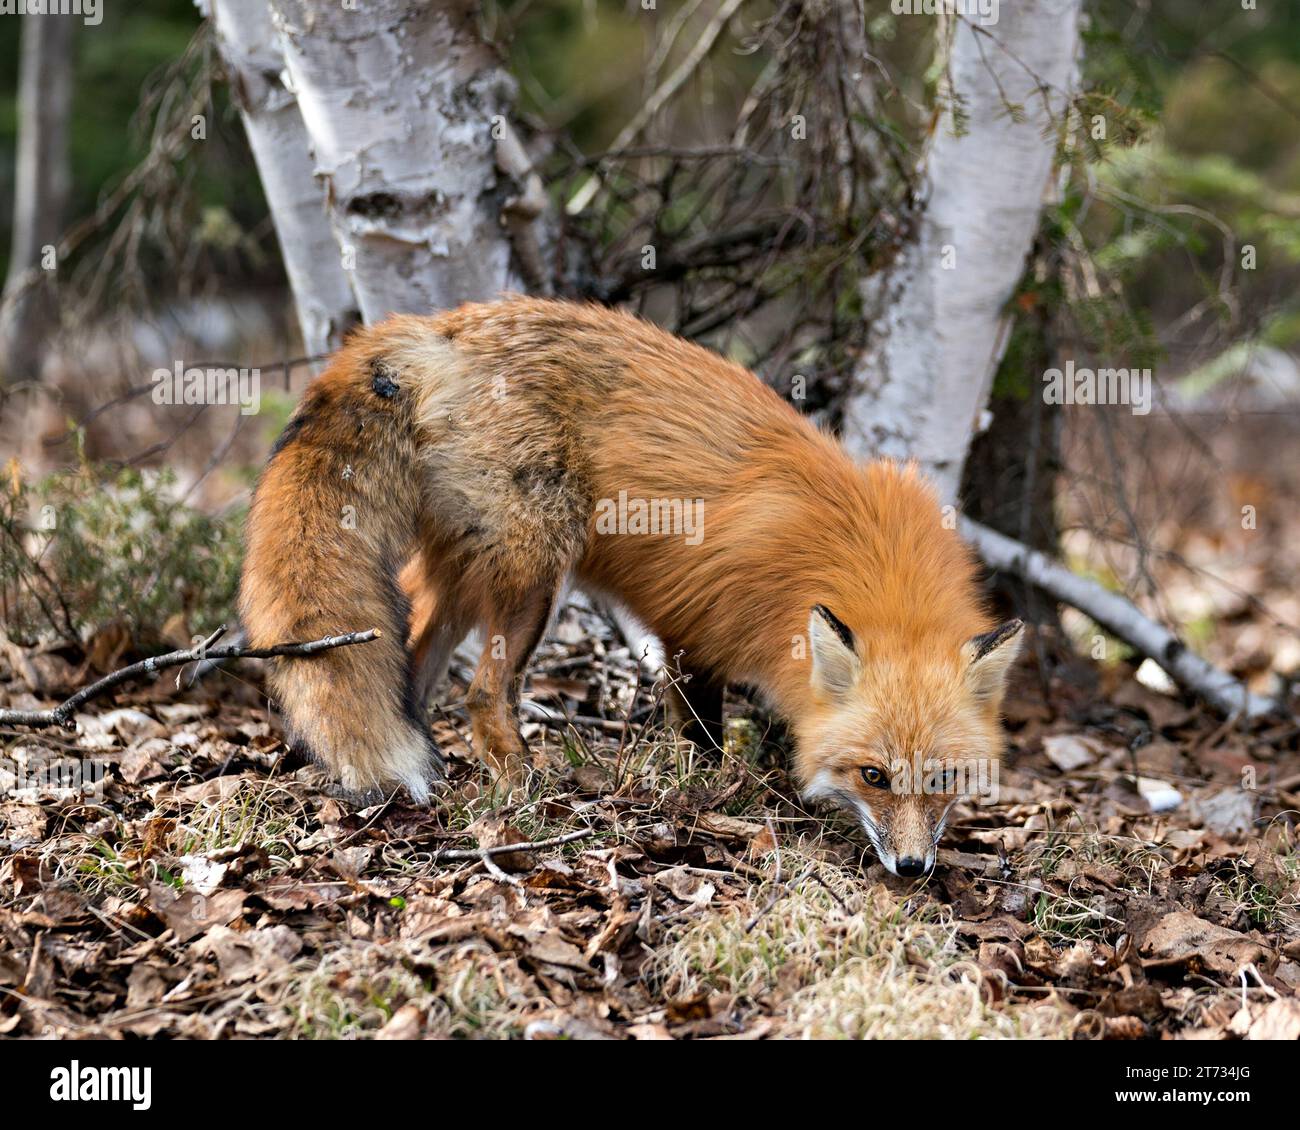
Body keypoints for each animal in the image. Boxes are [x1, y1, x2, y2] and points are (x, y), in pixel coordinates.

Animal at [240, 296, 1023, 878]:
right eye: (875, 777)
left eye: (944, 781)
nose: (915, 869)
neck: (864, 556)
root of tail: (439, 328)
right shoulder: (697, 628)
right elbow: (704, 738)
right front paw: (714, 797)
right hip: (537, 576)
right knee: (483, 696)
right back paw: (525, 789)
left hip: (463, 575)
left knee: (411, 672)